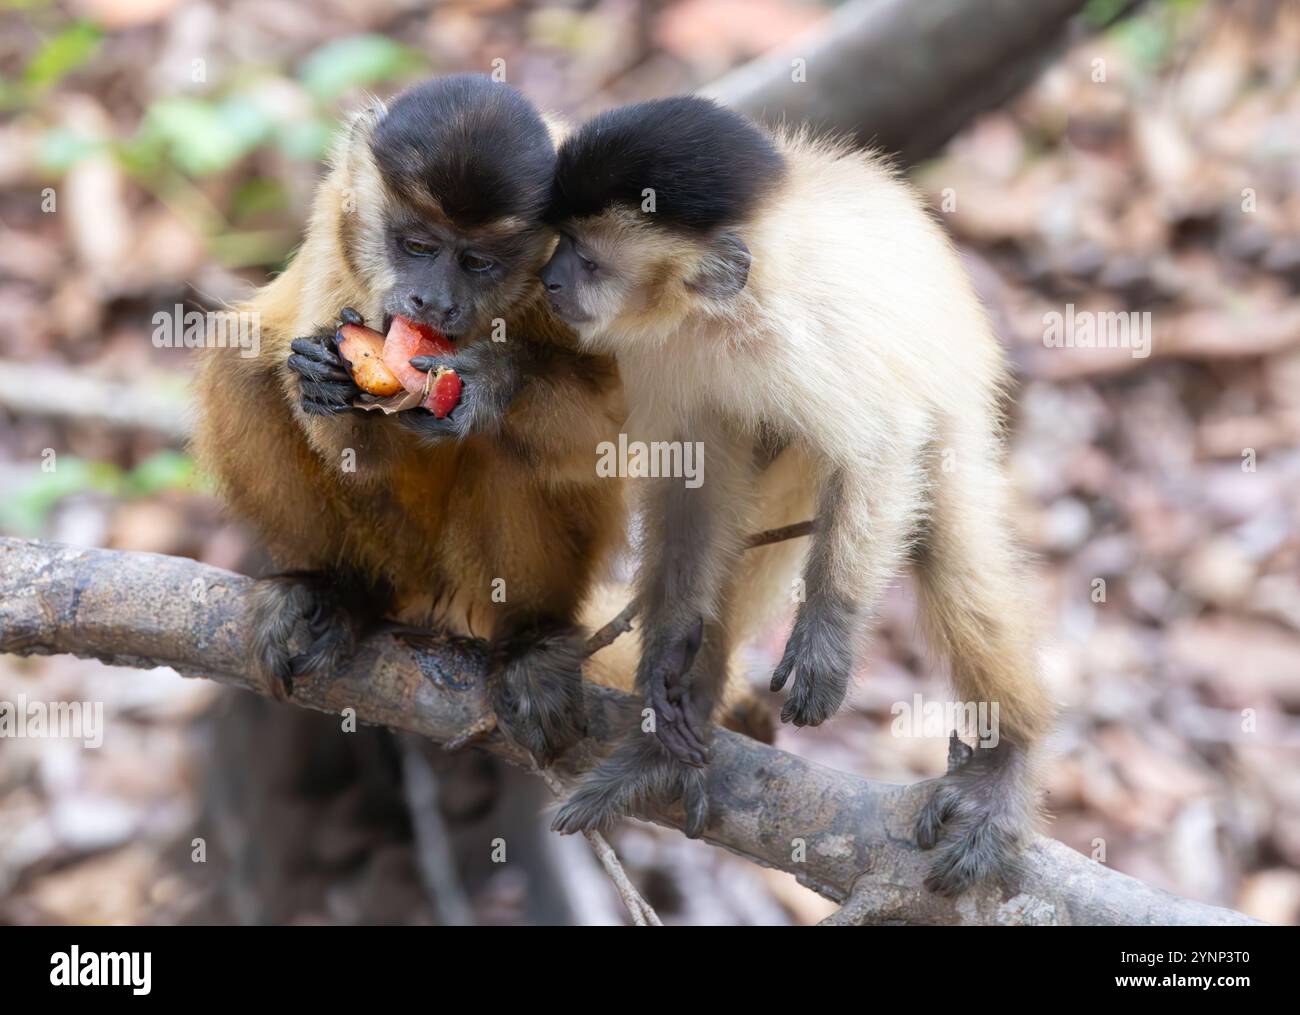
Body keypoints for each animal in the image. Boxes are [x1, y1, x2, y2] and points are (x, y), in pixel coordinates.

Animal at [537, 96, 1055, 895]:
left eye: (587, 260)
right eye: (558, 243)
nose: (551, 281)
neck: (720, 317)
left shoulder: (806, 334)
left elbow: (881, 444)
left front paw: (827, 637)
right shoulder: (657, 351)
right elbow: (691, 484)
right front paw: (670, 658)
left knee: (940, 521)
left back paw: (1008, 763)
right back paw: (678, 726)